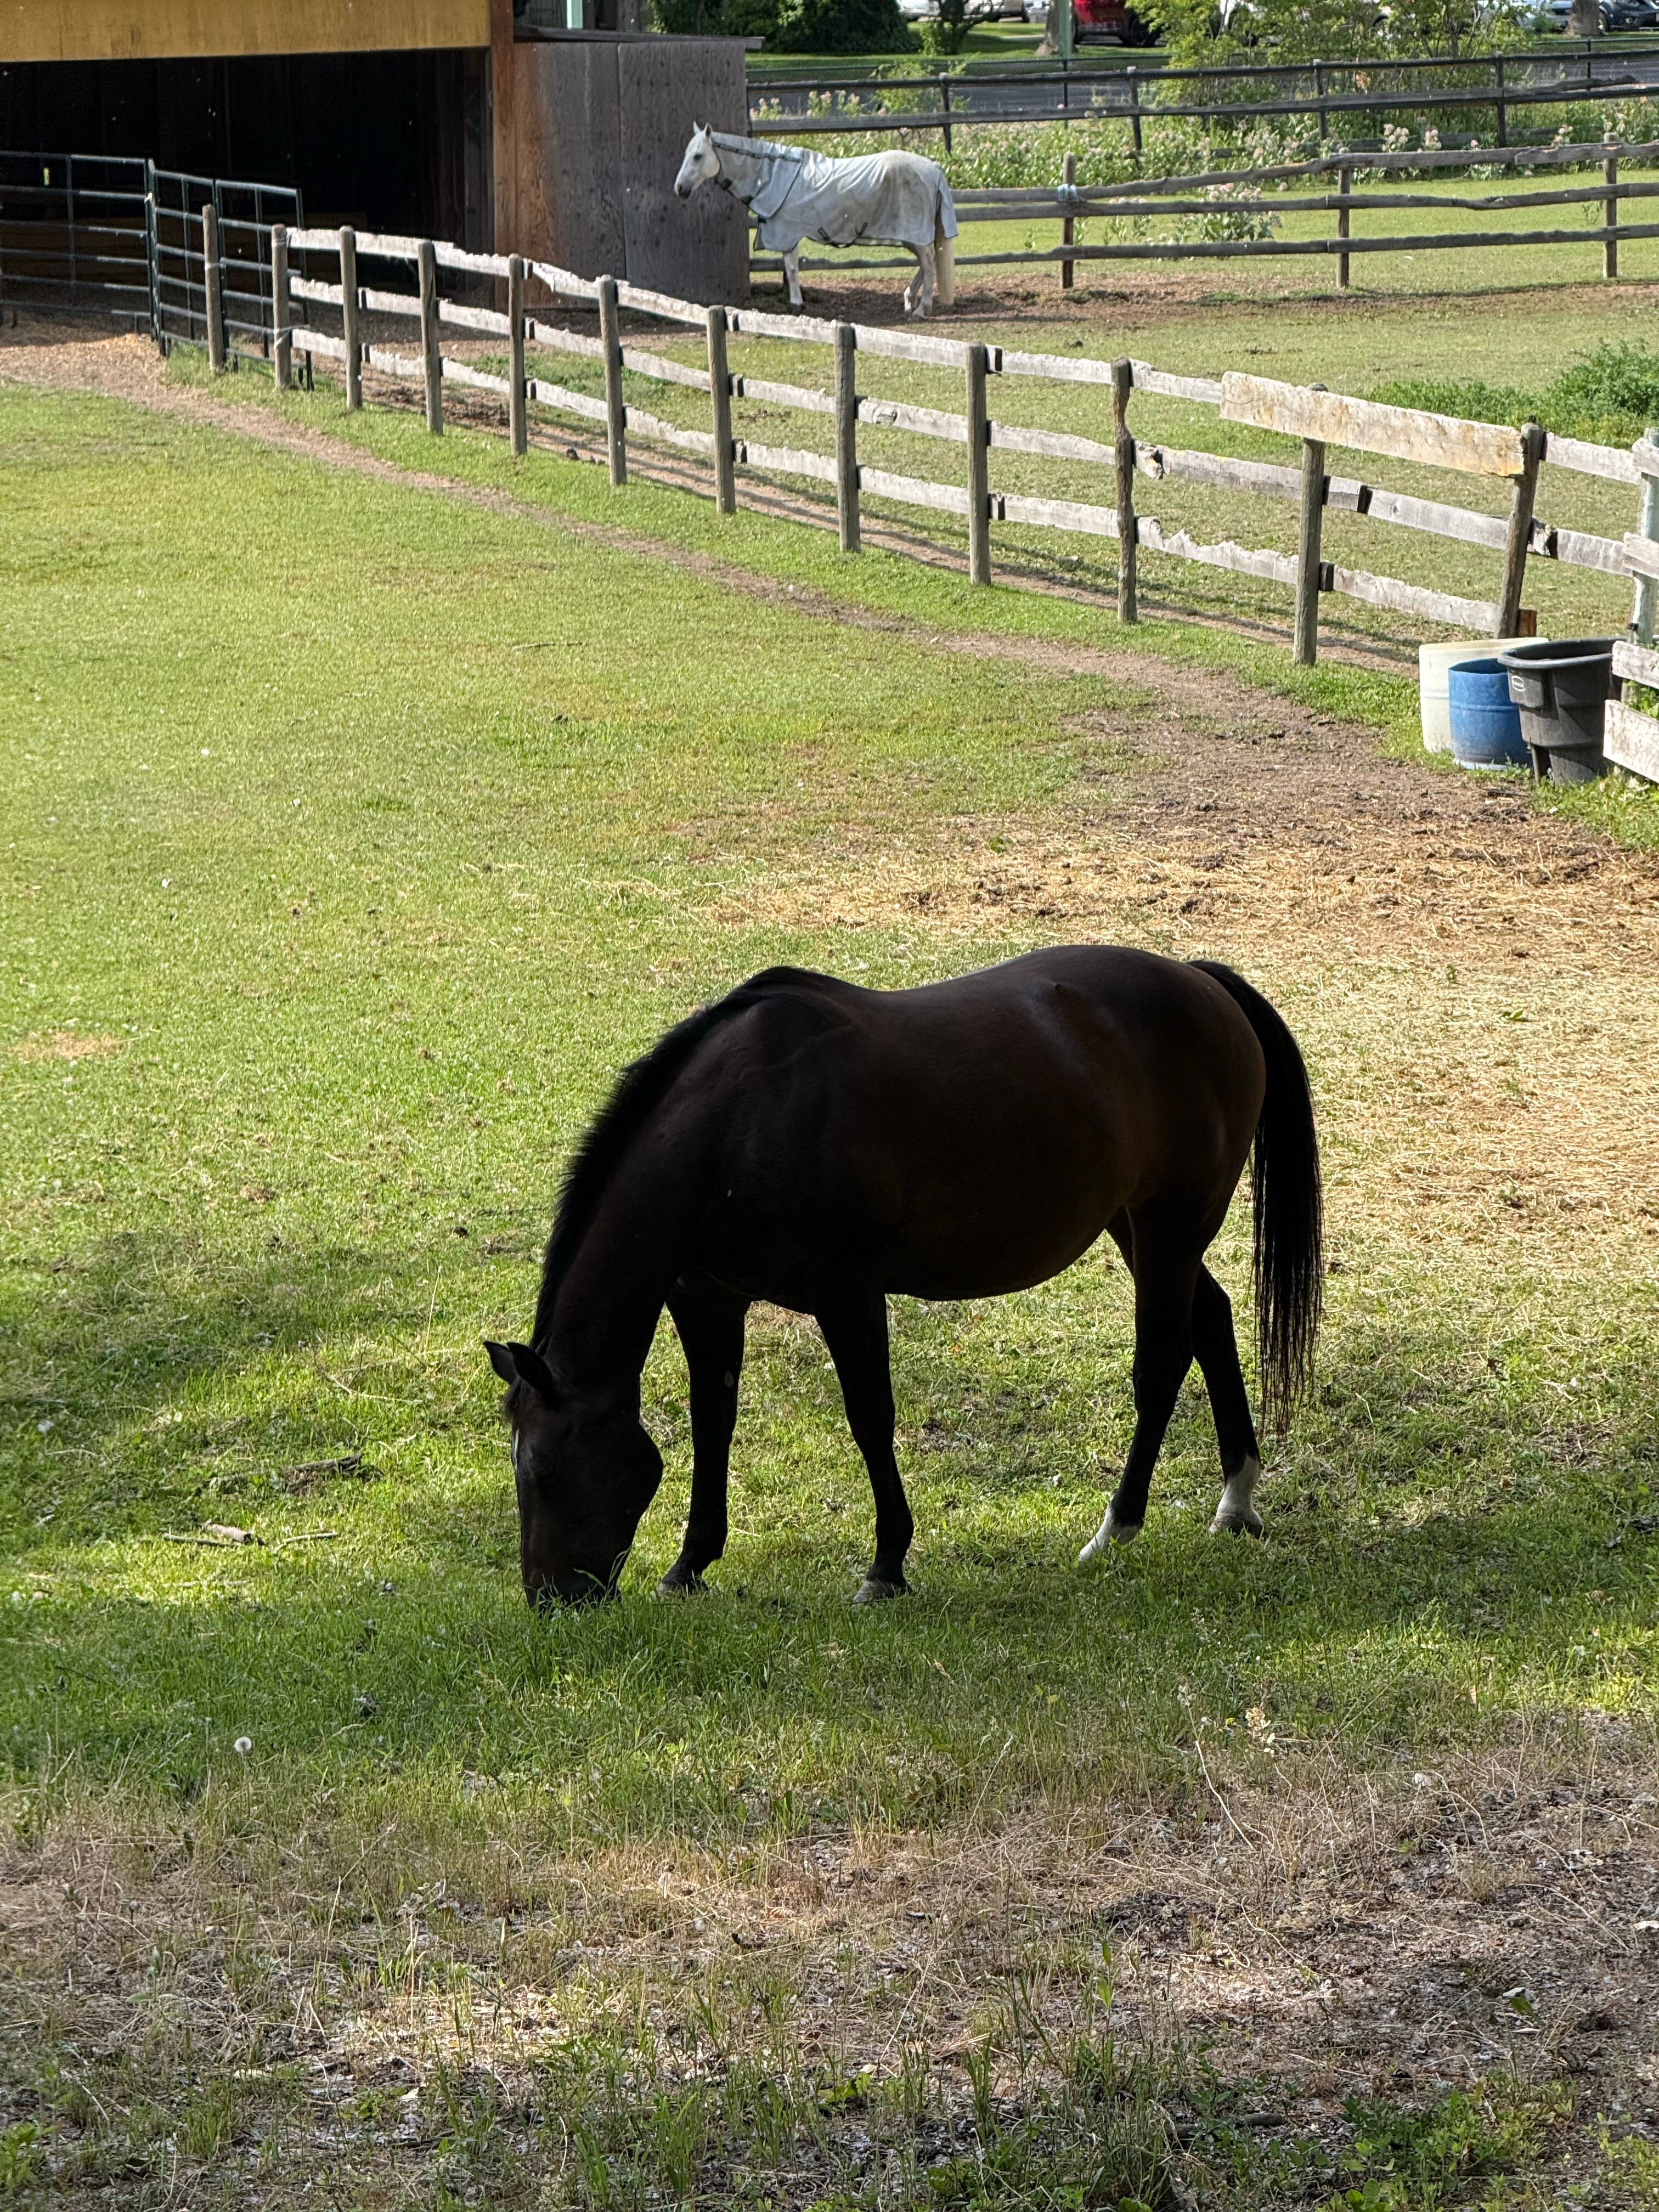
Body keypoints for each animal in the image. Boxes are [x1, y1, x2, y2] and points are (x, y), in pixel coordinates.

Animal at [486, 946, 1322, 1608]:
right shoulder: (708, 1299)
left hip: (1169, 1228)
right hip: (1141, 1228)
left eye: (546, 1471)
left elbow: (870, 1419)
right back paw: (1236, 1500)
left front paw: (886, 1565)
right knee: (1212, 1321)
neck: (739, 1120)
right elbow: (712, 1423)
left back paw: (1116, 1528)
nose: (554, 1601)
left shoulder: (848, 1293)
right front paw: (690, 1566)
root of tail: (1202, 982)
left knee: (1162, 1365)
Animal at [672, 124, 958, 318]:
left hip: (915, 234)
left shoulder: (788, 233)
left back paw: (922, 309)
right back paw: (909, 301)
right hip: (911, 236)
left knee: (929, 264)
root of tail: (933, 168)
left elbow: (792, 270)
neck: (772, 174)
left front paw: (796, 304)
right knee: (927, 263)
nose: (680, 188)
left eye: (698, 156)